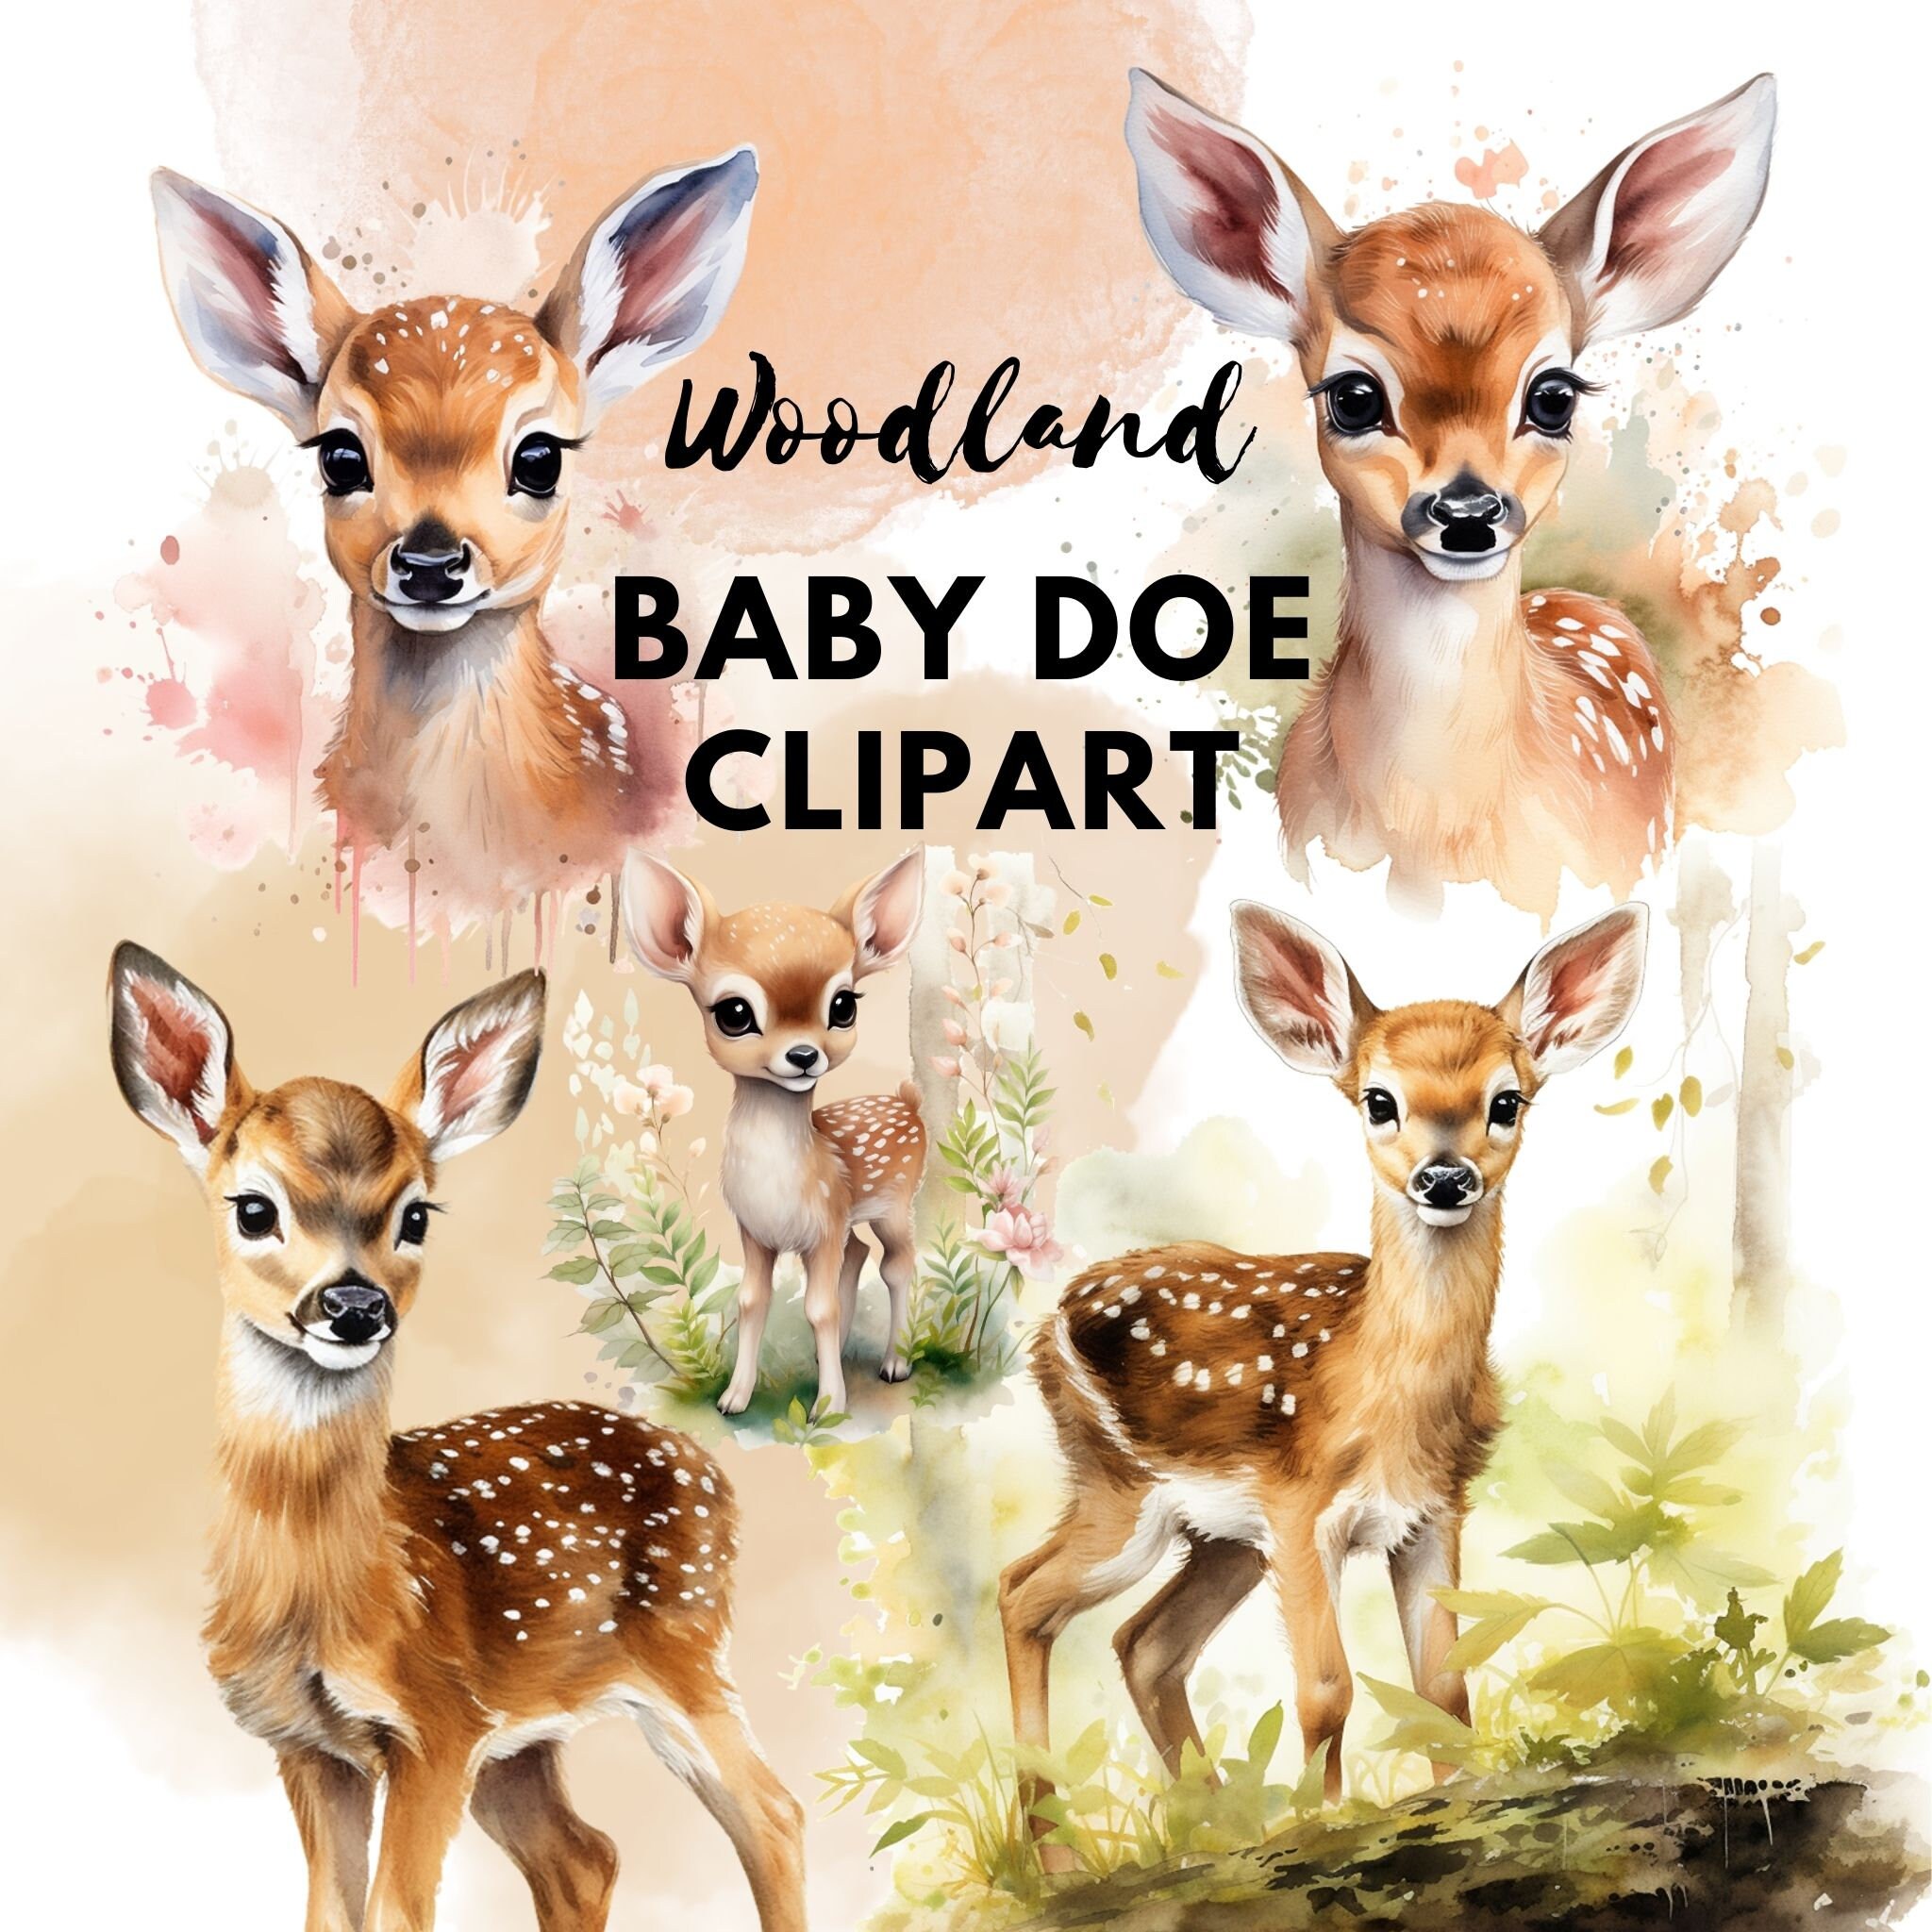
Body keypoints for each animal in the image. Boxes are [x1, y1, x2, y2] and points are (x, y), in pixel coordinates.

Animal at [108, 942, 805, 1932]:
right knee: (584, 1857)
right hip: (526, 1731)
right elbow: (332, 1913)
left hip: (681, 1650)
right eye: (252, 1209)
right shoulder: (310, 1742)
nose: (355, 1305)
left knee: (773, 1816)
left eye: (415, 1215)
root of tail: (709, 1467)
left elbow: (397, 1915)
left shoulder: (434, 1722)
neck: (335, 1587)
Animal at [622, 850, 928, 1422]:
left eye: (844, 1005)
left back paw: (894, 1363)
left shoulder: (824, 1225)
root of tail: (910, 1104)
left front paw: (828, 1406)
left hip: (896, 1201)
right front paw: (734, 1397)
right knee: (859, 1254)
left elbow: (819, 1307)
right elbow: (751, 1302)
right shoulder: (756, 1232)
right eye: (734, 1013)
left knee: (897, 1264)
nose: (804, 1055)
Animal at [999, 899, 1647, 1854]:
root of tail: (1050, 1323)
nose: (1444, 1177)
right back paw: (1059, 1858)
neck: (1380, 1390)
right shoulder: (1301, 1508)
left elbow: (1442, 1687)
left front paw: (1458, 1812)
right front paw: (1323, 1826)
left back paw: (1210, 1829)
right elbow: (1326, 1693)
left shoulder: (1432, 1514)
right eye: (1380, 1100)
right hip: (1120, 1487)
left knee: (1141, 1643)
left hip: (1219, 1537)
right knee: (1024, 1595)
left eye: (1507, 1100)